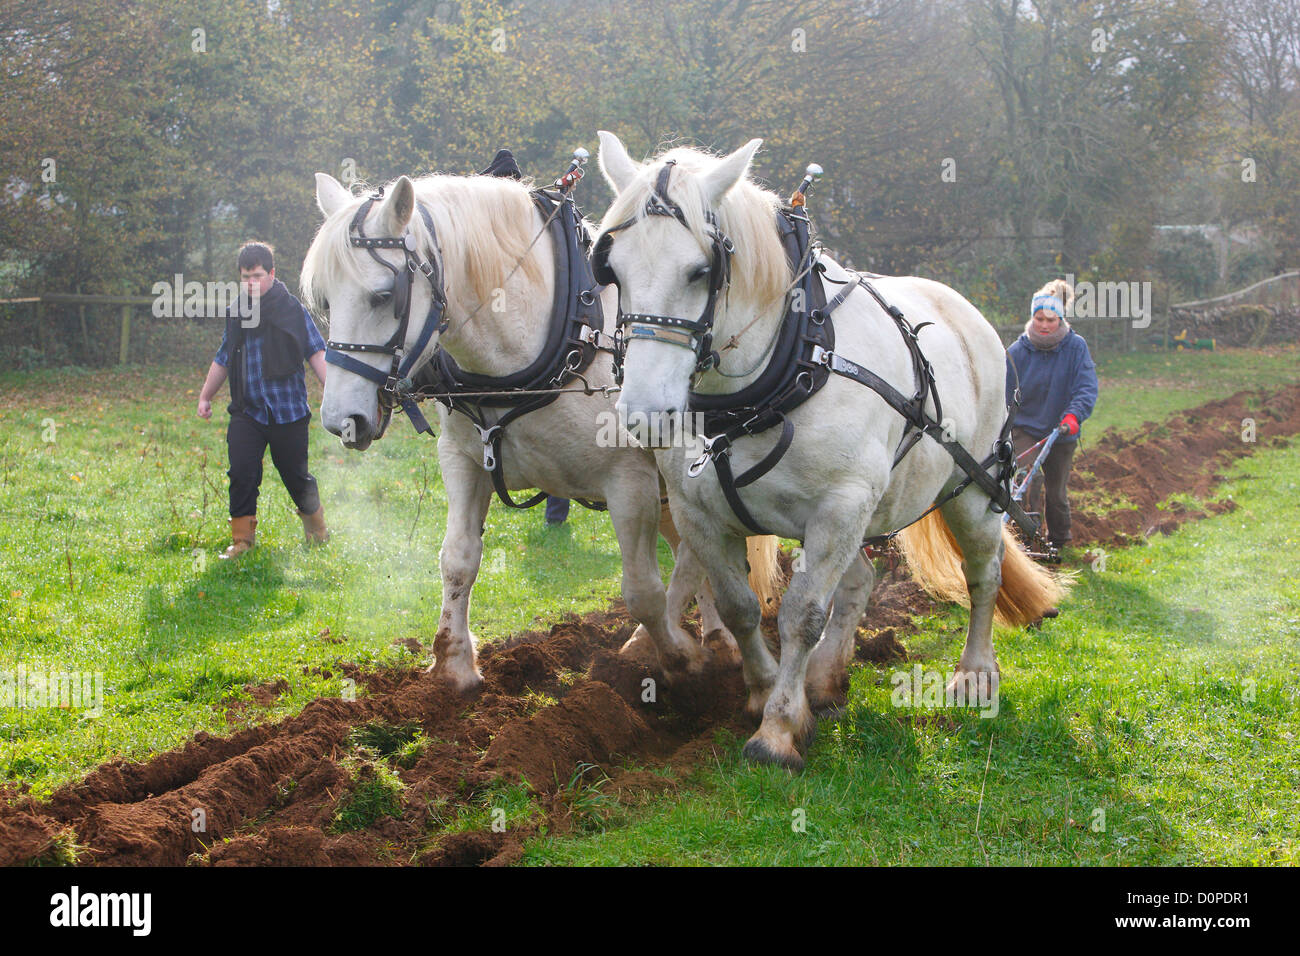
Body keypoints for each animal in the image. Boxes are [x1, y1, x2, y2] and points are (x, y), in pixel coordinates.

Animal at [301, 169, 781, 693]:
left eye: (384, 294)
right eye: (324, 299)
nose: (341, 420)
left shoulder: (628, 480)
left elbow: (642, 590)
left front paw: (677, 659)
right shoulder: (463, 461)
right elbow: (458, 558)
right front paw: (453, 667)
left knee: (692, 558)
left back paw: (680, 646)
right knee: (694, 554)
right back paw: (717, 637)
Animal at [594, 131, 1062, 769]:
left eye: (700, 271)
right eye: (612, 269)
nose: (644, 414)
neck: (788, 366)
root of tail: (967, 313)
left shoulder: (840, 506)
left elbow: (802, 616)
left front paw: (778, 731)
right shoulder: (700, 513)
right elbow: (741, 607)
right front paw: (767, 693)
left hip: (969, 489)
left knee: (982, 574)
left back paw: (974, 674)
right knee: (861, 579)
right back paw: (824, 681)